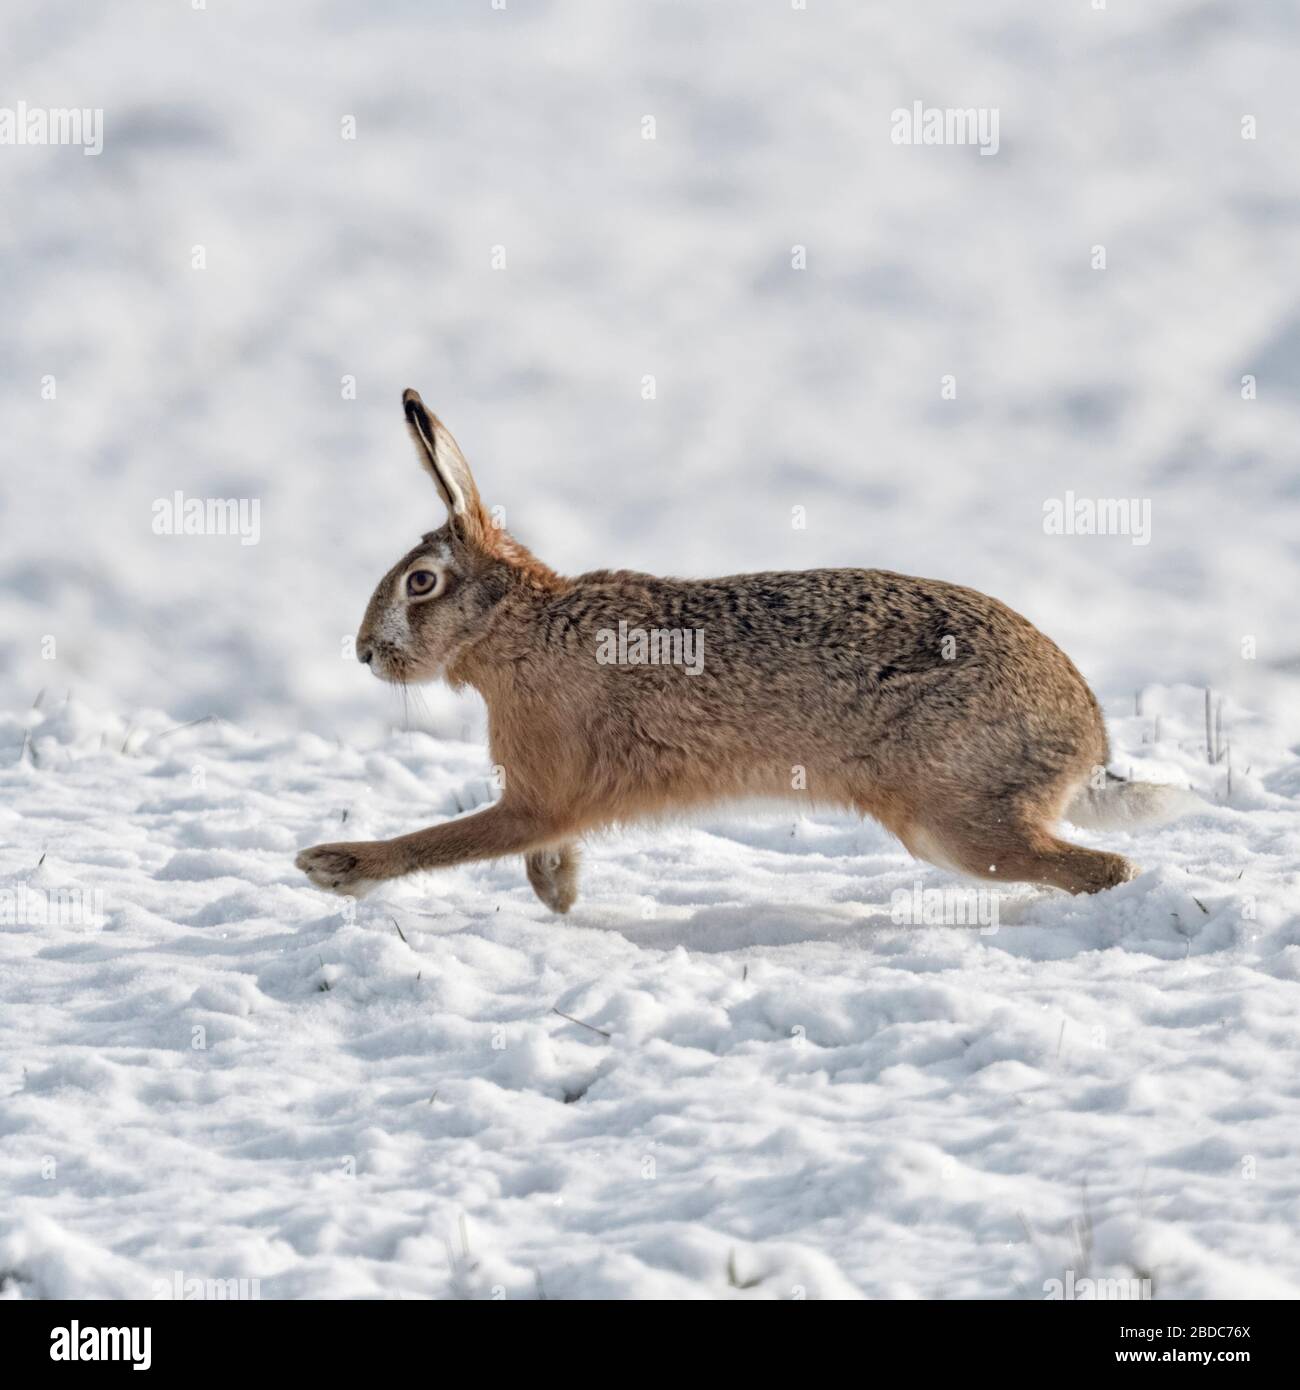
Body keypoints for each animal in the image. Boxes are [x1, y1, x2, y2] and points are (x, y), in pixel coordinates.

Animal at [296, 388, 1189, 912]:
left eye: (420, 583)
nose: (365, 654)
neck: (518, 628)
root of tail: (1087, 741)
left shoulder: (541, 793)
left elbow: (451, 840)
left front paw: (335, 865)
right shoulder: (548, 802)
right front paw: (561, 894)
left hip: (955, 819)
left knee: (1101, 868)